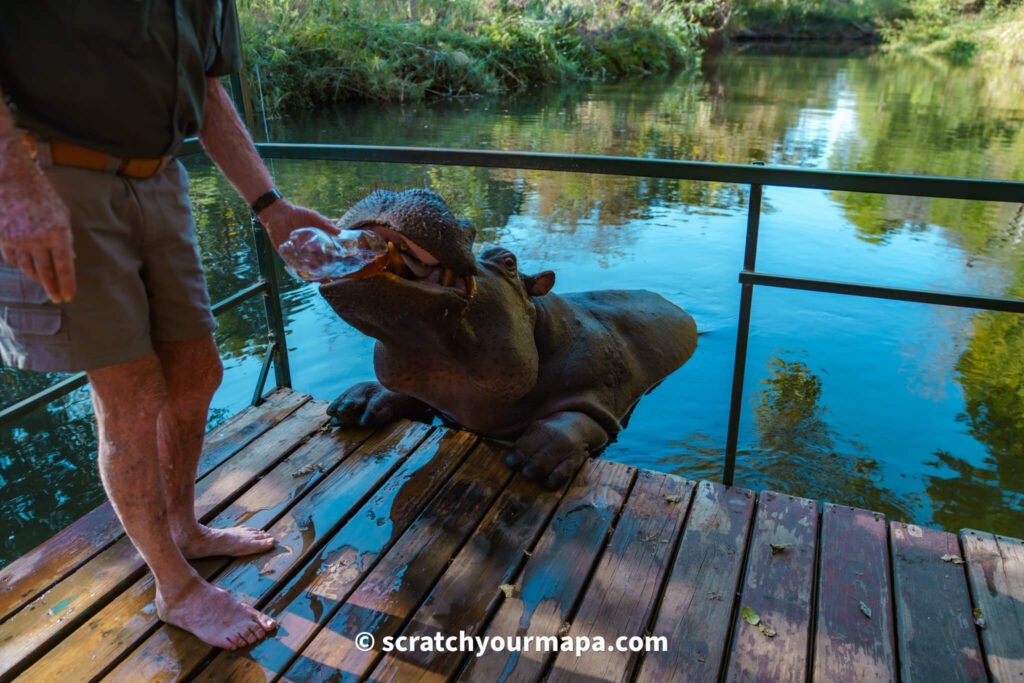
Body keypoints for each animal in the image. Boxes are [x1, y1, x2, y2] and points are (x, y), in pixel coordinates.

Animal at [321, 189, 697, 488]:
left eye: (508, 260)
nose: (406, 192)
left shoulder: (600, 396)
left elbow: (581, 419)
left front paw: (533, 456)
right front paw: (357, 402)